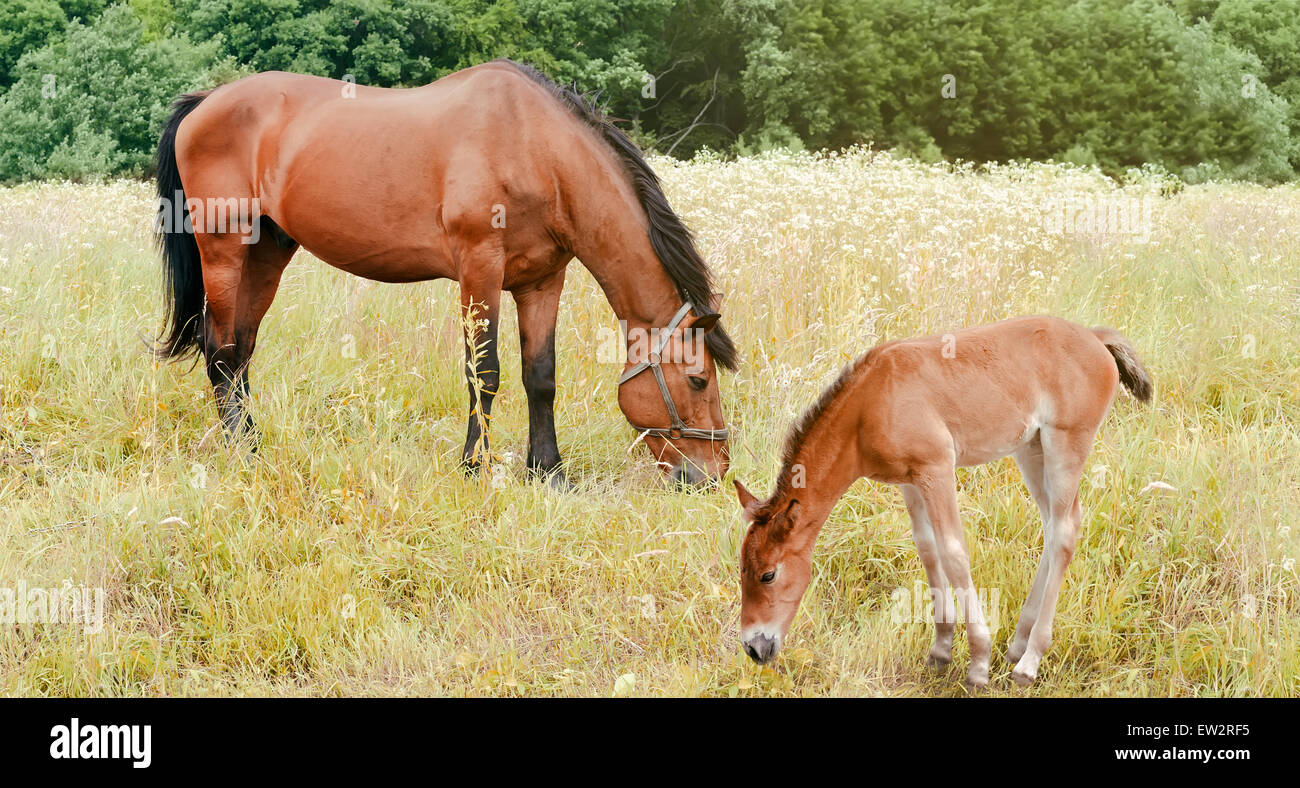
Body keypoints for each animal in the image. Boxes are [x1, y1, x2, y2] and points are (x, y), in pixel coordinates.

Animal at [153, 60, 737, 487]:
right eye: (698, 379)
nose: (711, 476)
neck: (535, 147)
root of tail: (205, 101)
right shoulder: (480, 268)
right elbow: (485, 373)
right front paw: (474, 467)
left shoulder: (542, 281)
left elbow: (540, 375)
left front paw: (547, 472)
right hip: (224, 250)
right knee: (221, 349)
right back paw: (241, 454)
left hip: (267, 252)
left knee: (242, 351)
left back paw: (254, 444)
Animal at [731, 316, 1152, 687]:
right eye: (742, 568)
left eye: (768, 574)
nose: (753, 648)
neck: (869, 407)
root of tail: (1095, 337)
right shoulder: (910, 481)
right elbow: (928, 549)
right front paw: (942, 648)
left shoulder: (937, 469)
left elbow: (954, 552)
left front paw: (979, 661)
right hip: (1031, 450)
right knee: (1053, 526)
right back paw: (1018, 644)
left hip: (1066, 443)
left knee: (1064, 533)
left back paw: (1029, 661)